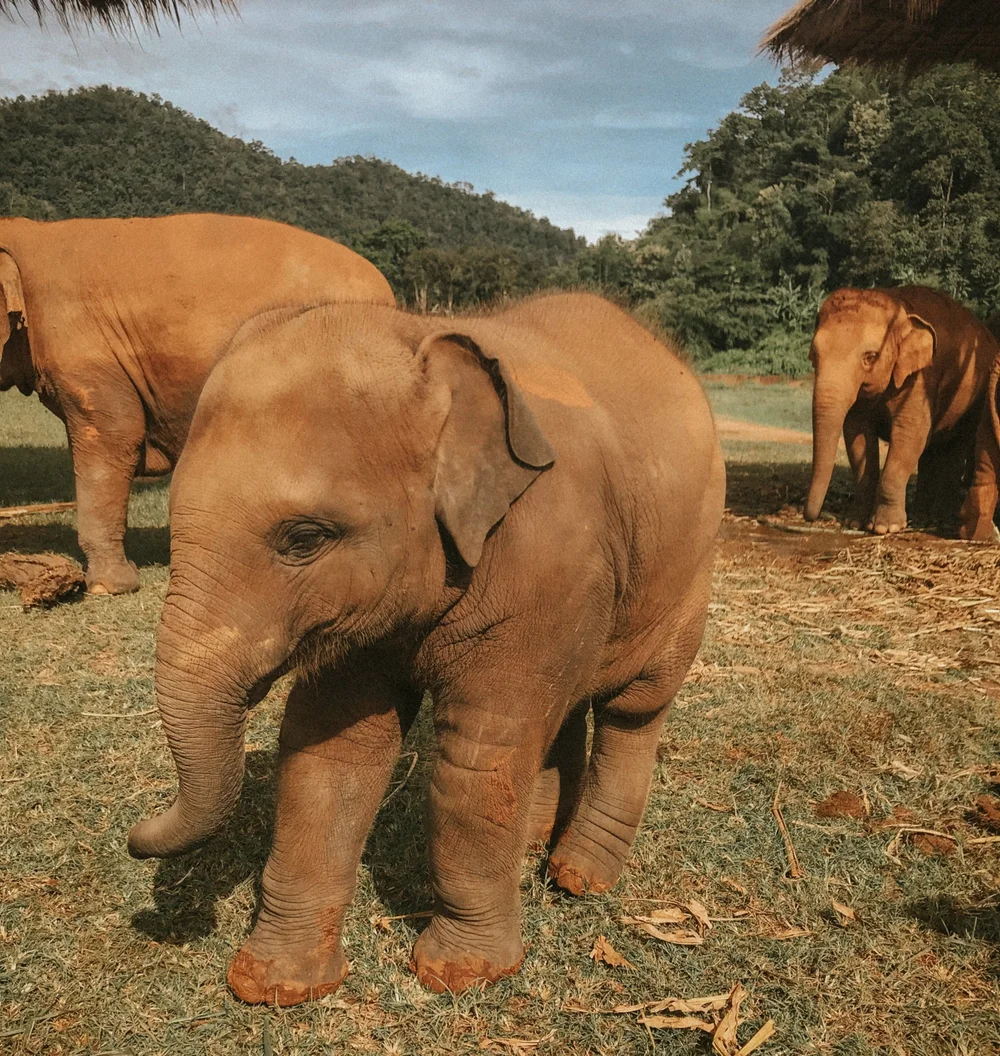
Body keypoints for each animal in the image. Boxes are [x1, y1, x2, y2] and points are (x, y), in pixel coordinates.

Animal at [126, 292, 726, 1004]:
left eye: (304, 538)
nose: (133, 836)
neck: (422, 337)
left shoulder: (547, 562)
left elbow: (479, 758)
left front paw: (462, 974)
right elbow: (330, 749)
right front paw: (274, 984)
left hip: (687, 571)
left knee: (632, 711)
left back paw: (579, 877)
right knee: (558, 716)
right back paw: (531, 853)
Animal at [803, 285, 998, 535]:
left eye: (871, 357)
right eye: (814, 355)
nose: (810, 518)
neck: (897, 305)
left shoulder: (920, 379)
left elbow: (909, 435)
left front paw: (886, 527)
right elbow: (858, 437)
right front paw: (855, 522)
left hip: (973, 399)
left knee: (955, 447)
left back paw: (940, 515)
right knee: (933, 449)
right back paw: (923, 513)